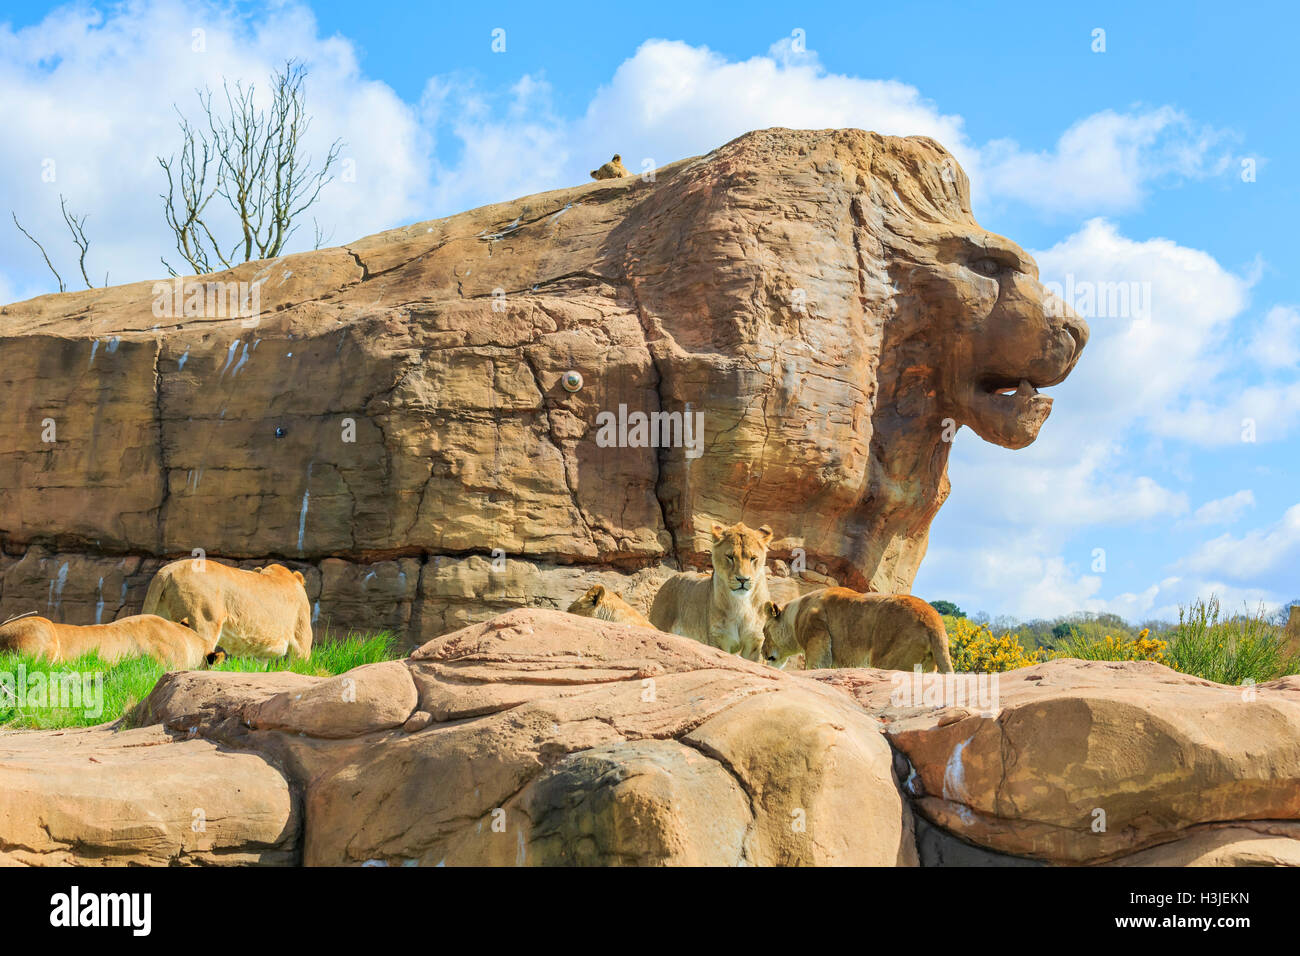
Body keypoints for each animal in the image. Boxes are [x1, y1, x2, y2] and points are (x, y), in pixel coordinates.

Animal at [648, 522, 774, 660]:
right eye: (730, 557)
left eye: (753, 558)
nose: (742, 579)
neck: (741, 603)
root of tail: (671, 578)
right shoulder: (719, 639)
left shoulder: (755, 642)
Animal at [761, 587, 953, 672]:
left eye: (764, 632)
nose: (763, 652)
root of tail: (935, 622)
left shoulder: (817, 635)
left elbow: (816, 664)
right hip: (928, 665)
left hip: (891, 659)